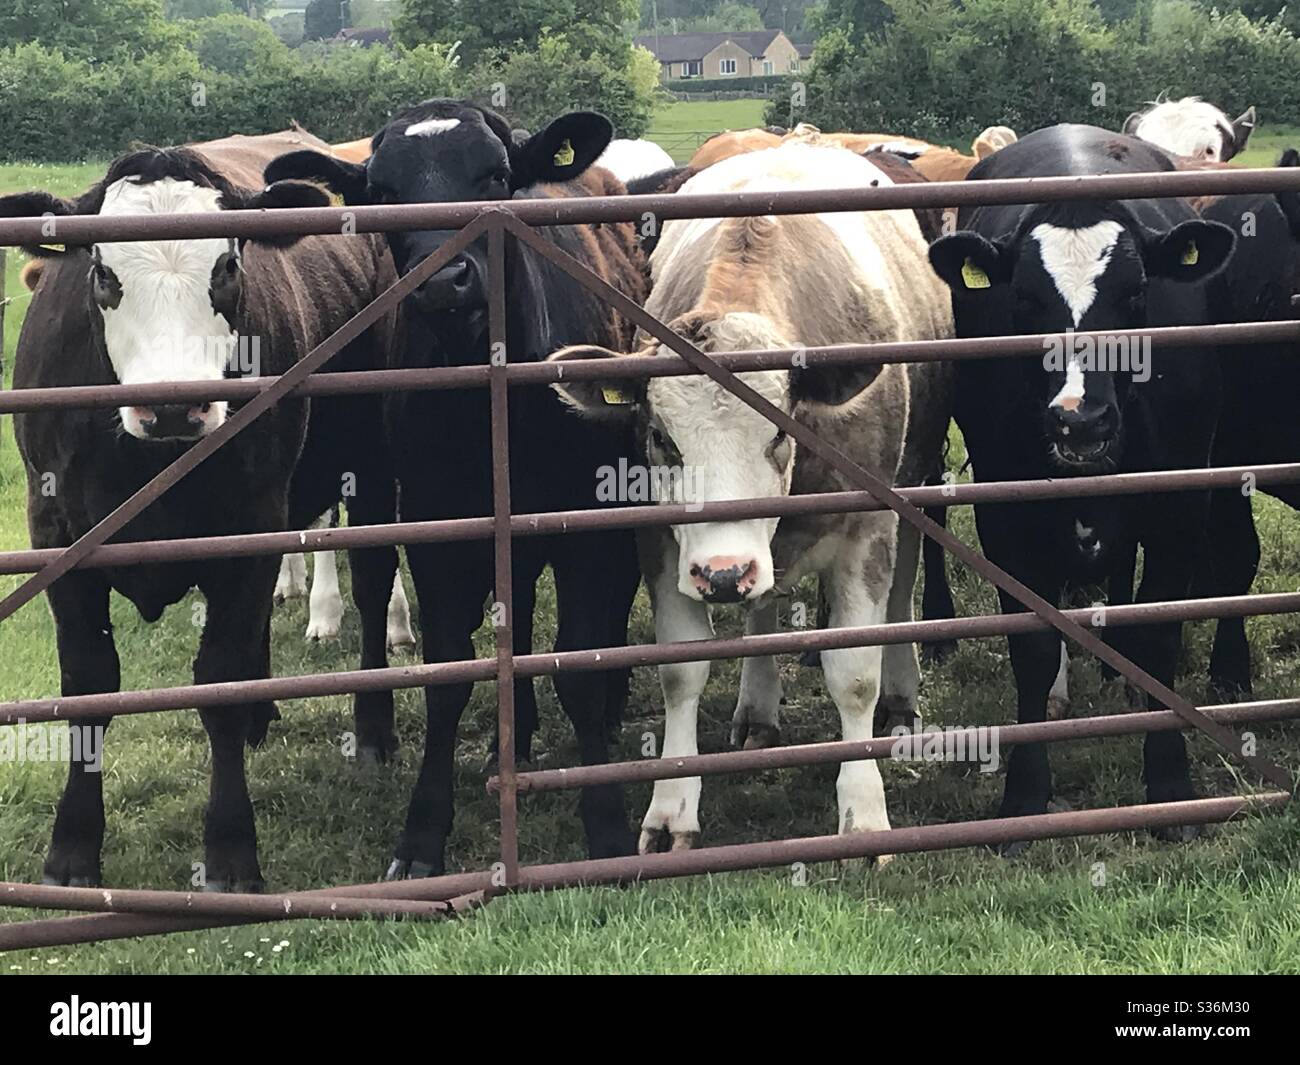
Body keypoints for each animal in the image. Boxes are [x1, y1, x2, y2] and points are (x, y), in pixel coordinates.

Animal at [1, 130, 403, 890]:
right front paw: (72, 850)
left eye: (227, 267)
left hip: (370, 466)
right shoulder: (56, 534)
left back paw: (372, 728)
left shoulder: (251, 517)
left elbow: (219, 678)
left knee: (372, 581)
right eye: (102, 273)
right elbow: (88, 683)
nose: (173, 406)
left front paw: (231, 851)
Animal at [265, 100, 649, 878]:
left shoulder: (589, 520)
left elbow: (581, 667)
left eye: (496, 176)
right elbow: (447, 676)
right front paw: (421, 837)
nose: (445, 280)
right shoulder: (437, 524)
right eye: (382, 191)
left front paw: (606, 825)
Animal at [548, 140, 954, 853]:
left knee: (902, 587)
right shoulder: (664, 542)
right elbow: (681, 670)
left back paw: (901, 697)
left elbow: (855, 673)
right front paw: (671, 810)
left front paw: (863, 810)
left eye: (779, 432)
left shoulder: (866, 529)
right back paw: (757, 707)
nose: (723, 572)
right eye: (660, 437)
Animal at [926, 125, 1236, 842]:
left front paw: (1171, 786)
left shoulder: (1181, 504)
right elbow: (1034, 647)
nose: (1080, 418)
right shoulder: (1005, 516)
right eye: (1024, 300)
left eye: (1136, 295)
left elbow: (1160, 636)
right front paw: (1024, 794)